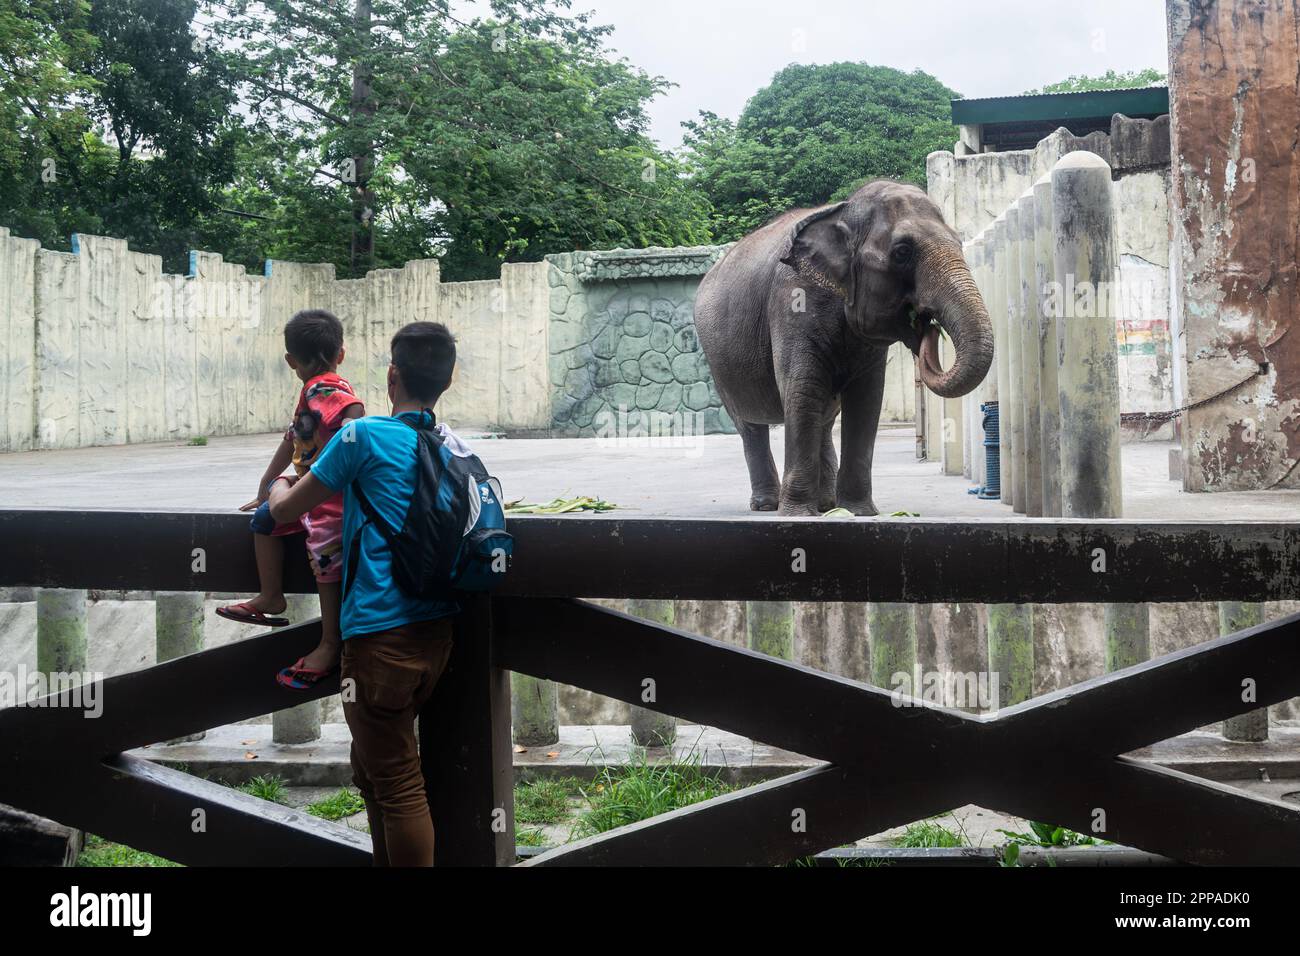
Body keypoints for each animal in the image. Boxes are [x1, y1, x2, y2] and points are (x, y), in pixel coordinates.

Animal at [693, 180, 994, 516]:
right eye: (902, 252)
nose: (927, 325)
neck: (842, 214)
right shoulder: (792, 302)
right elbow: (802, 390)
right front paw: (799, 515)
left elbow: (866, 399)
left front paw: (859, 512)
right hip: (717, 362)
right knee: (751, 425)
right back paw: (768, 505)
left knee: (823, 417)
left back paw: (826, 504)